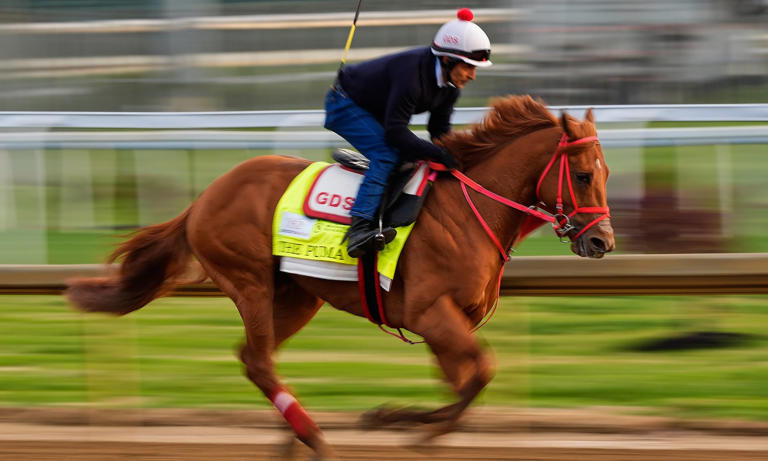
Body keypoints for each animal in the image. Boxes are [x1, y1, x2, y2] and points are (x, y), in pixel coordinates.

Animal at [66, 95, 614, 460]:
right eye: (583, 174)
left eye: (605, 173)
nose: (602, 242)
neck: (470, 209)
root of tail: (205, 197)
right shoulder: (431, 313)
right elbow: (480, 373)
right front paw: (399, 423)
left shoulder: (450, 323)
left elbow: (463, 383)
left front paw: (402, 420)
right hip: (250, 280)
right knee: (259, 361)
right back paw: (313, 436)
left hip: (296, 296)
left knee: (255, 358)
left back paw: (294, 439)